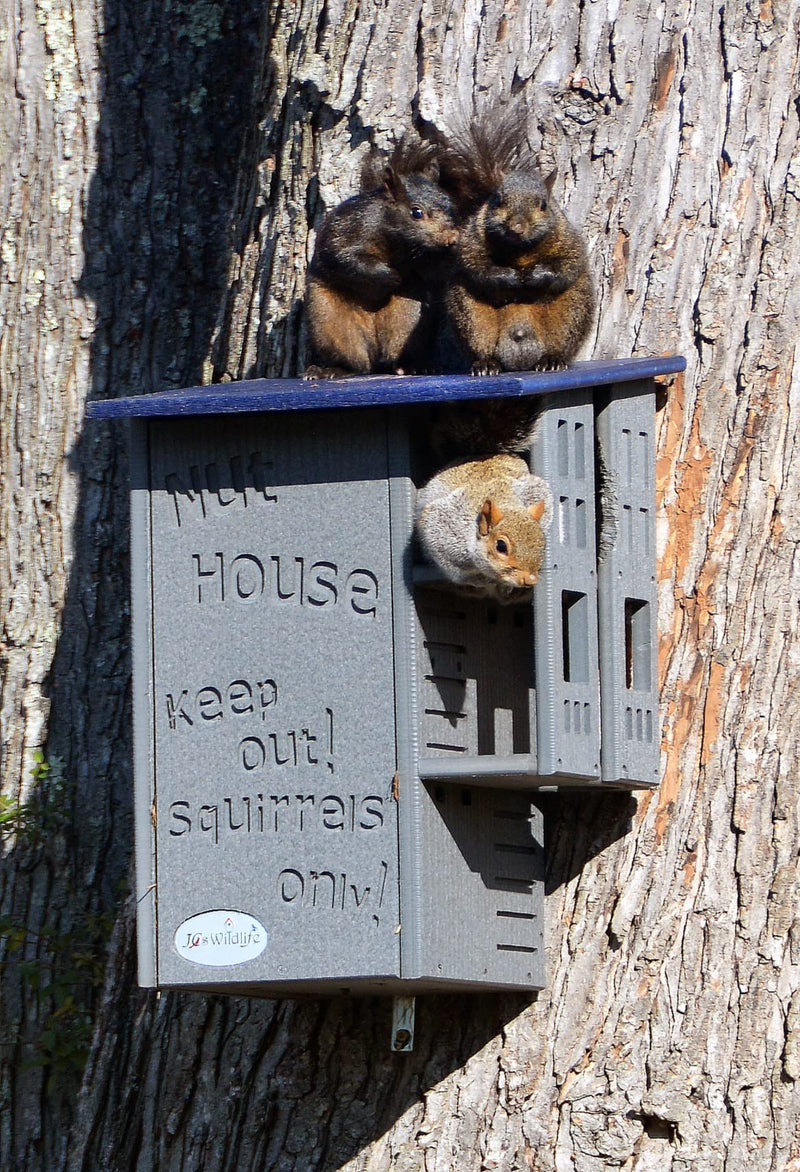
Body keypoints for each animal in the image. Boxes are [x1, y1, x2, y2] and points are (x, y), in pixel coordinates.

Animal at [303, 136, 458, 378]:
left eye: (451, 207)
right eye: (416, 212)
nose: (450, 236)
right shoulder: (345, 232)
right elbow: (346, 259)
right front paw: (392, 276)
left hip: (408, 316)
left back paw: (414, 365)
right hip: (327, 319)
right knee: (354, 362)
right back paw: (330, 369)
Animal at [415, 454, 553, 603]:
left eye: (543, 545)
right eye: (501, 546)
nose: (531, 580)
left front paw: (506, 586)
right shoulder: (443, 531)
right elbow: (454, 571)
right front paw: (479, 580)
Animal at [434, 104, 595, 376]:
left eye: (543, 204)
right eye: (498, 200)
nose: (517, 227)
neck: (521, 251)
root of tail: (521, 356)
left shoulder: (569, 240)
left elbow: (568, 264)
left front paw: (535, 275)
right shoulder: (472, 241)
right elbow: (477, 265)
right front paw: (508, 276)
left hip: (571, 310)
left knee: (560, 341)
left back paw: (552, 360)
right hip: (471, 314)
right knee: (482, 343)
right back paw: (487, 363)